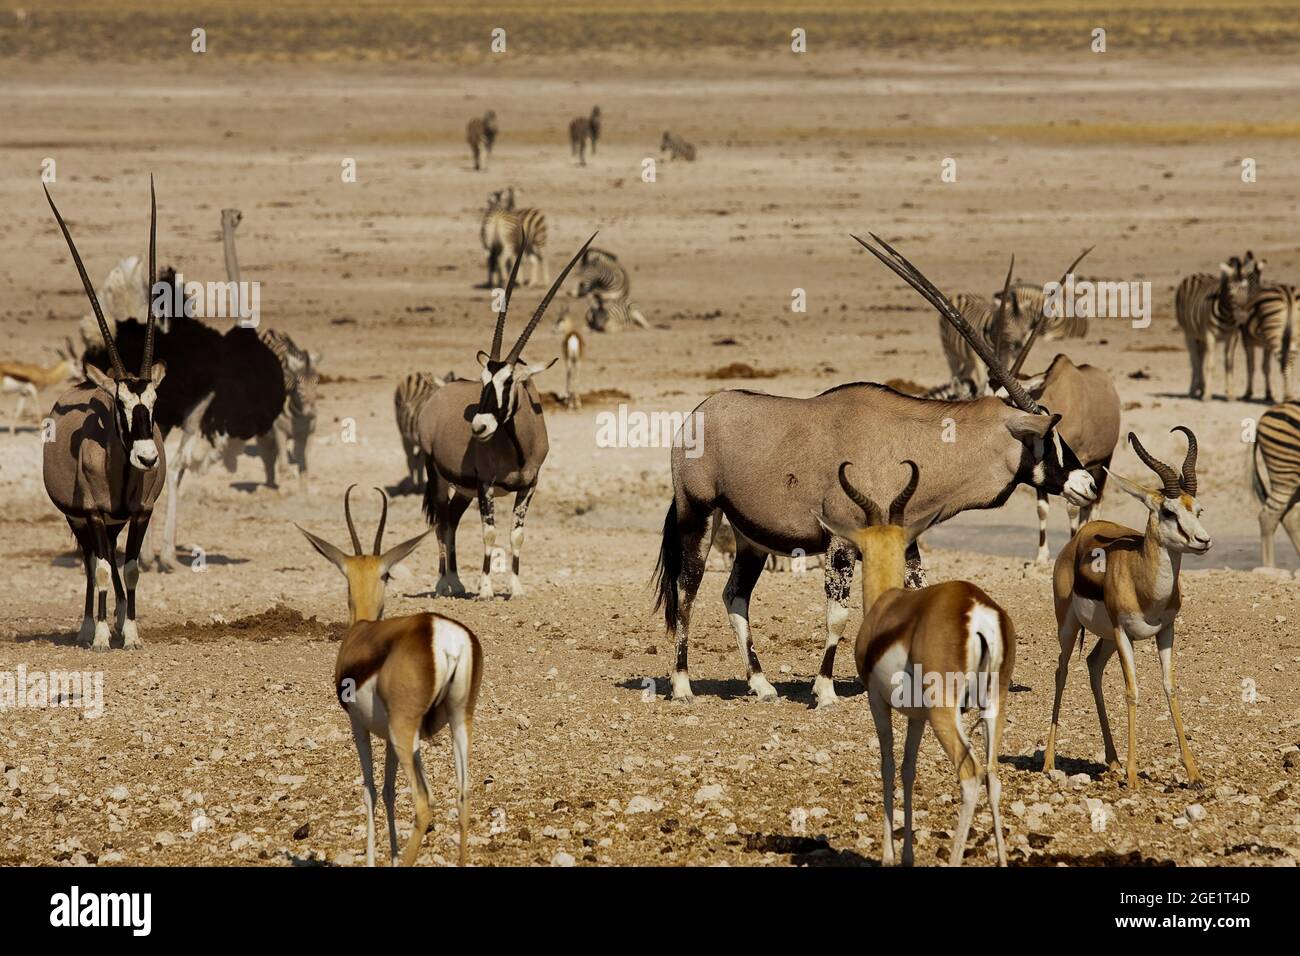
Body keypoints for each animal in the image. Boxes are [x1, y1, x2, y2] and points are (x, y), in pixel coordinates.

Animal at [256, 328, 320, 490]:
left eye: (317, 381)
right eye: (299, 383)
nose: (311, 413)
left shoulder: (306, 434)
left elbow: (304, 464)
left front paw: (304, 489)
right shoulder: (279, 432)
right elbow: (283, 465)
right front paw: (285, 488)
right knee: (267, 454)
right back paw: (269, 485)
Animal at [1175, 259, 1254, 401]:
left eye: (1246, 287)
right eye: (1230, 288)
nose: (1243, 317)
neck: (1227, 316)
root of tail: (1196, 274)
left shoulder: (1233, 336)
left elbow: (1229, 364)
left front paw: (1230, 394)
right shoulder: (1209, 335)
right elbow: (1210, 365)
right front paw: (1207, 394)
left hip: (1200, 336)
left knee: (1200, 357)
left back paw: (1200, 387)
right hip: (1189, 333)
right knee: (1195, 360)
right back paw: (1194, 390)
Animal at [1239, 258, 1297, 403]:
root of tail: (1288, 292)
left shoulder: (1246, 341)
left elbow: (1251, 366)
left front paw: (1248, 393)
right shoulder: (1266, 346)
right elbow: (1266, 368)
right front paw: (1268, 394)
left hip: (1275, 334)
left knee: (1284, 361)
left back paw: (1287, 395)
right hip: (1294, 334)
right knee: (1290, 360)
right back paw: (1290, 394)